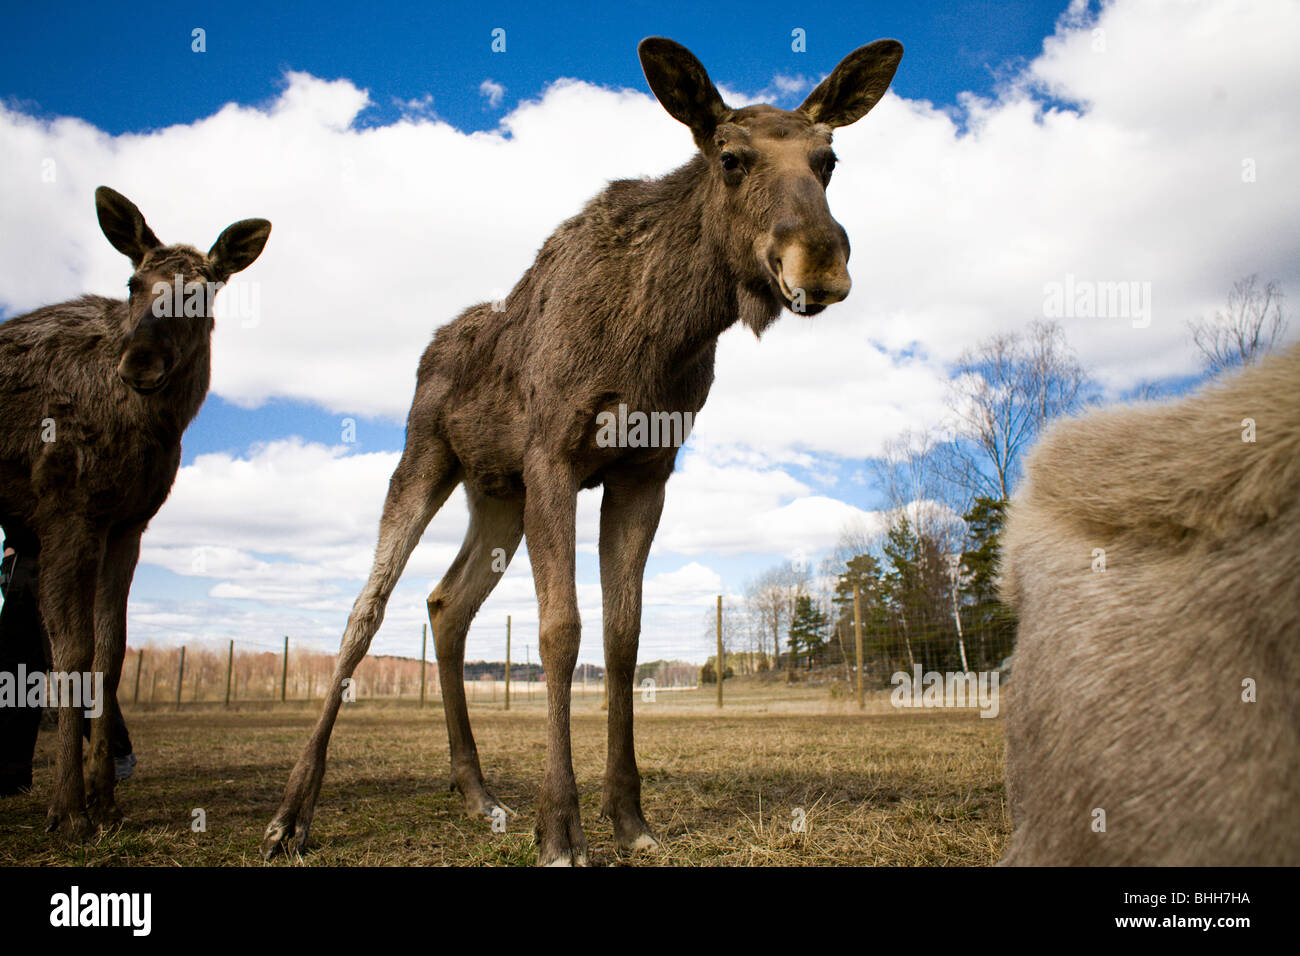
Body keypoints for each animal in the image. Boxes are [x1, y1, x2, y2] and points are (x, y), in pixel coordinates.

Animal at [0, 187, 270, 837]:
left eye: (202, 290)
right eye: (132, 282)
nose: (140, 363)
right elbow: (69, 653)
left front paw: (104, 801)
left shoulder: (127, 526)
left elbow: (111, 651)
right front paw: (68, 808)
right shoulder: (64, 513)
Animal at [262, 36, 903, 866]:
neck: (667, 332)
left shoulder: (645, 472)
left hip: (495, 495)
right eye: (730, 158)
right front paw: (561, 827)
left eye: (828, 160)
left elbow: (622, 638)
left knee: (445, 603)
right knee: (364, 611)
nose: (819, 261)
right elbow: (560, 630)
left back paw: (476, 792)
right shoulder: (555, 458)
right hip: (426, 456)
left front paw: (629, 815)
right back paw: (292, 813)